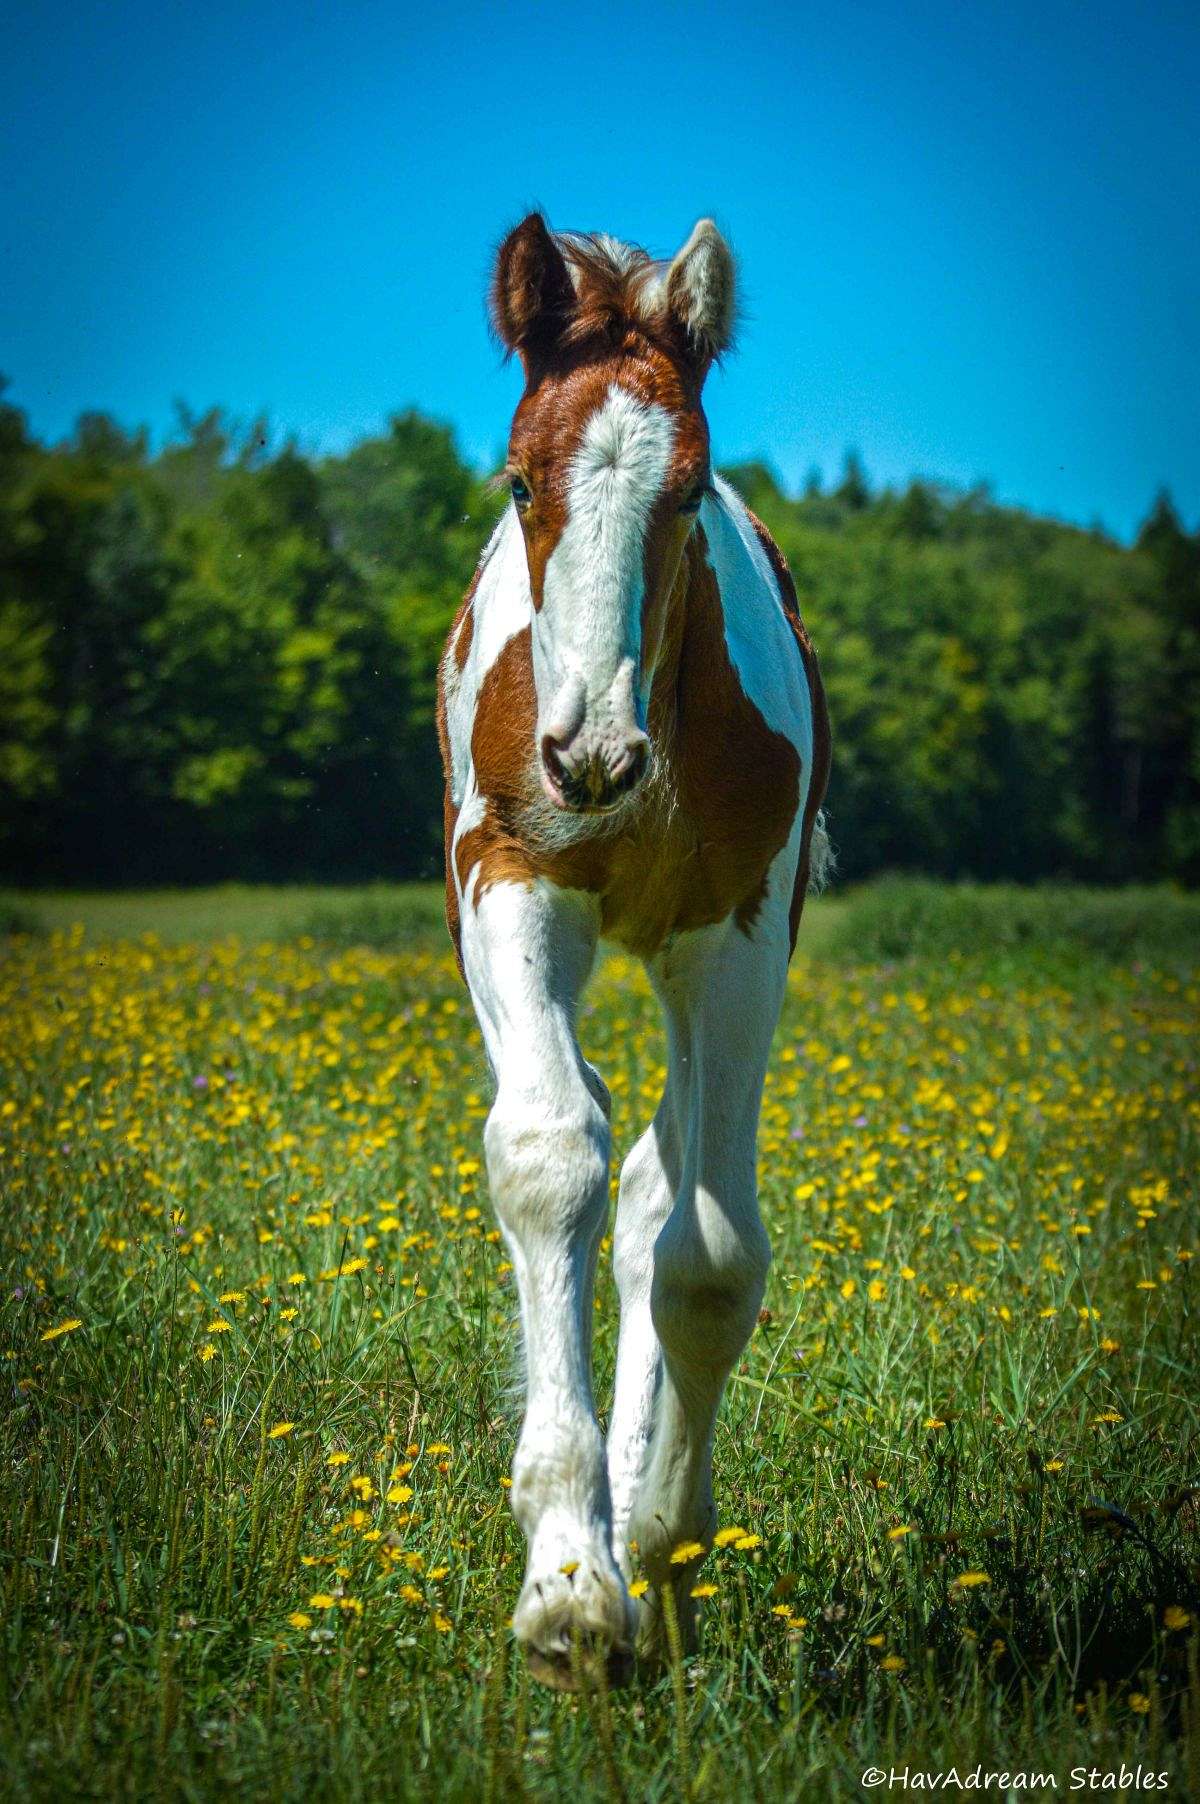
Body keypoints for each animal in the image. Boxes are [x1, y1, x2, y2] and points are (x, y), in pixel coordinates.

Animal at [436, 213, 831, 1689]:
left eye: (691, 485)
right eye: (518, 477)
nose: (590, 753)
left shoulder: (737, 930)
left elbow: (705, 1255)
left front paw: (653, 1550)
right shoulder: (510, 878)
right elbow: (551, 1153)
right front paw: (568, 1588)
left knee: (665, 1189)